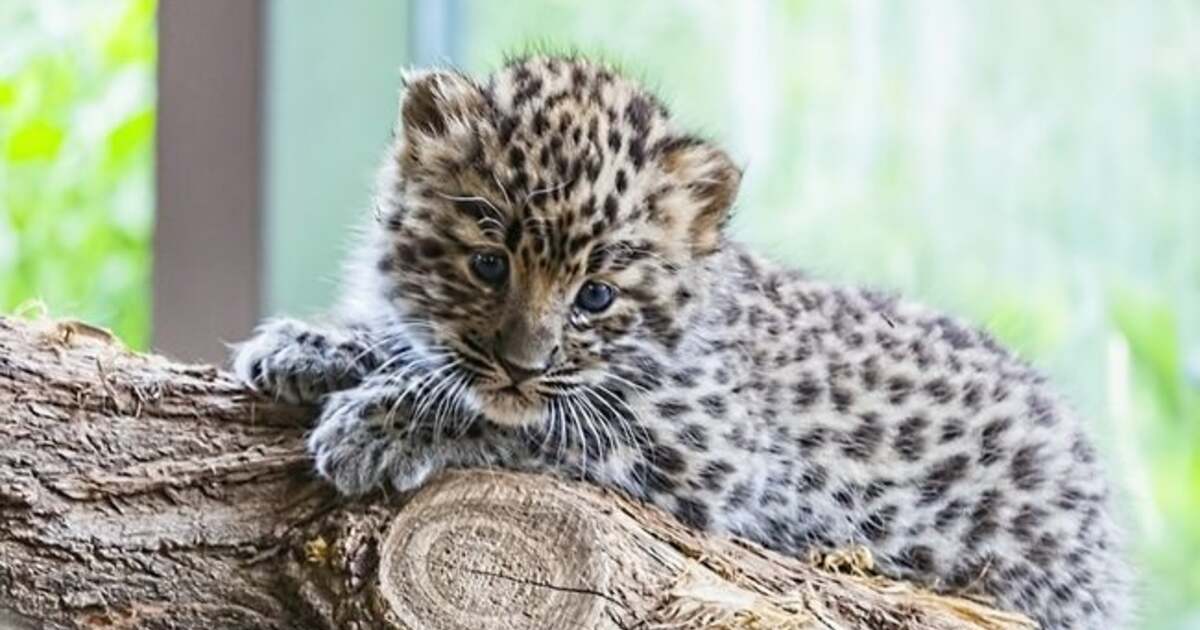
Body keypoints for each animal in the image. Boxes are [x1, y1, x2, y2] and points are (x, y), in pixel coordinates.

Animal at [232, 55, 1131, 628]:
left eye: (596, 295)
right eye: (488, 265)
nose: (523, 366)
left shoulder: (707, 445)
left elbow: (524, 421)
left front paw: (373, 425)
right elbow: (425, 353)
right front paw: (310, 346)